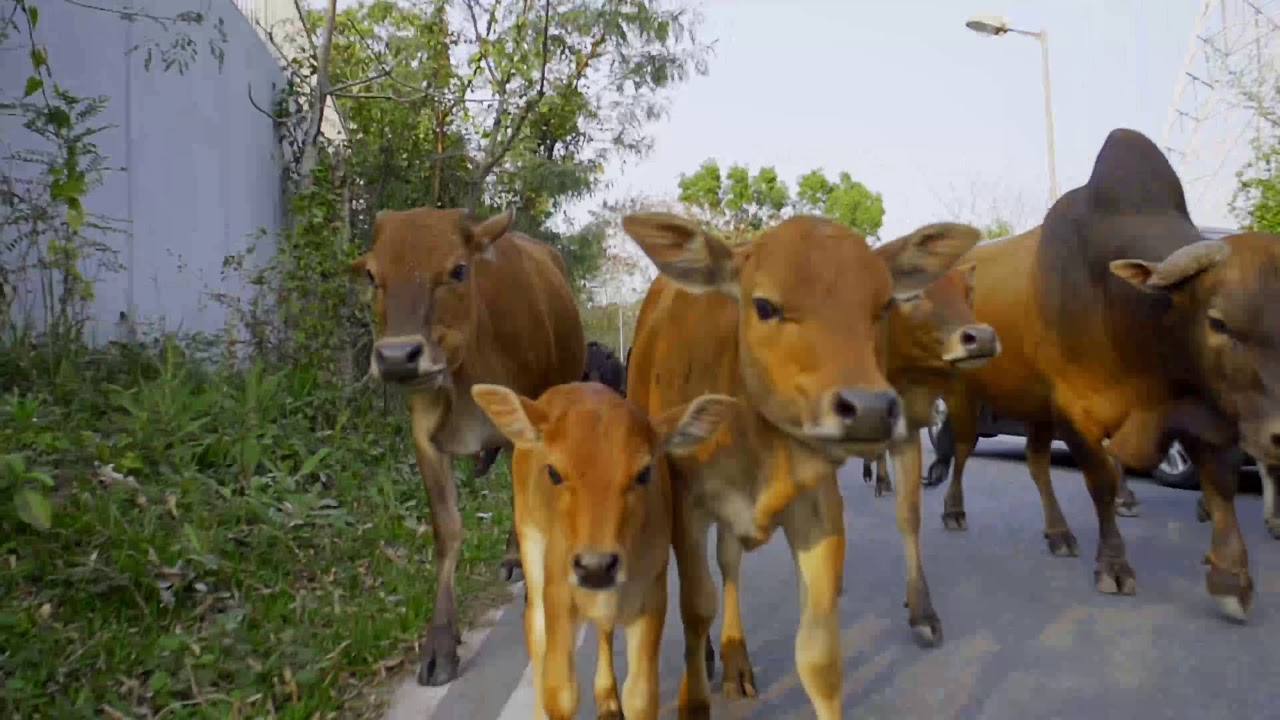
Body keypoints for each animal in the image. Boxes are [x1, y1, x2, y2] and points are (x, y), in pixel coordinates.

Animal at [349, 206, 586, 686]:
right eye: (372, 274)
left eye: (457, 269)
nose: (397, 358)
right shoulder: (425, 434)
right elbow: (447, 530)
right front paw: (440, 643)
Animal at [470, 382, 735, 720]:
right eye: (553, 472)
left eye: (644, 472)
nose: (595, 566)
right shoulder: (558, 592)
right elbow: (561, 693)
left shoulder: (651, 597)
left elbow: (640, 696)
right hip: (530, 541)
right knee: (536, 628)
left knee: (604, 628)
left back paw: (608, 700)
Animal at [622, 211, 981, 719]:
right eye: (765, 306)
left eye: (882, 307)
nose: (870, 409)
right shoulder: (686, 505)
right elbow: (695, 607)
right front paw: (693, 697)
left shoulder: (819, 507)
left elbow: (818, 656)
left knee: (729, 562)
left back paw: (736, 658)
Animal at [983, 127, 1280, 620]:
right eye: (1217, 322)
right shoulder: (1075, 410)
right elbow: (1101, 481)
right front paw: (1114, 565)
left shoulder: (1203, 411)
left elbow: (1221, 484)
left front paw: (1230, 577)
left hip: (1035, 409)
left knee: (1036, 461)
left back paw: (1058, 534)